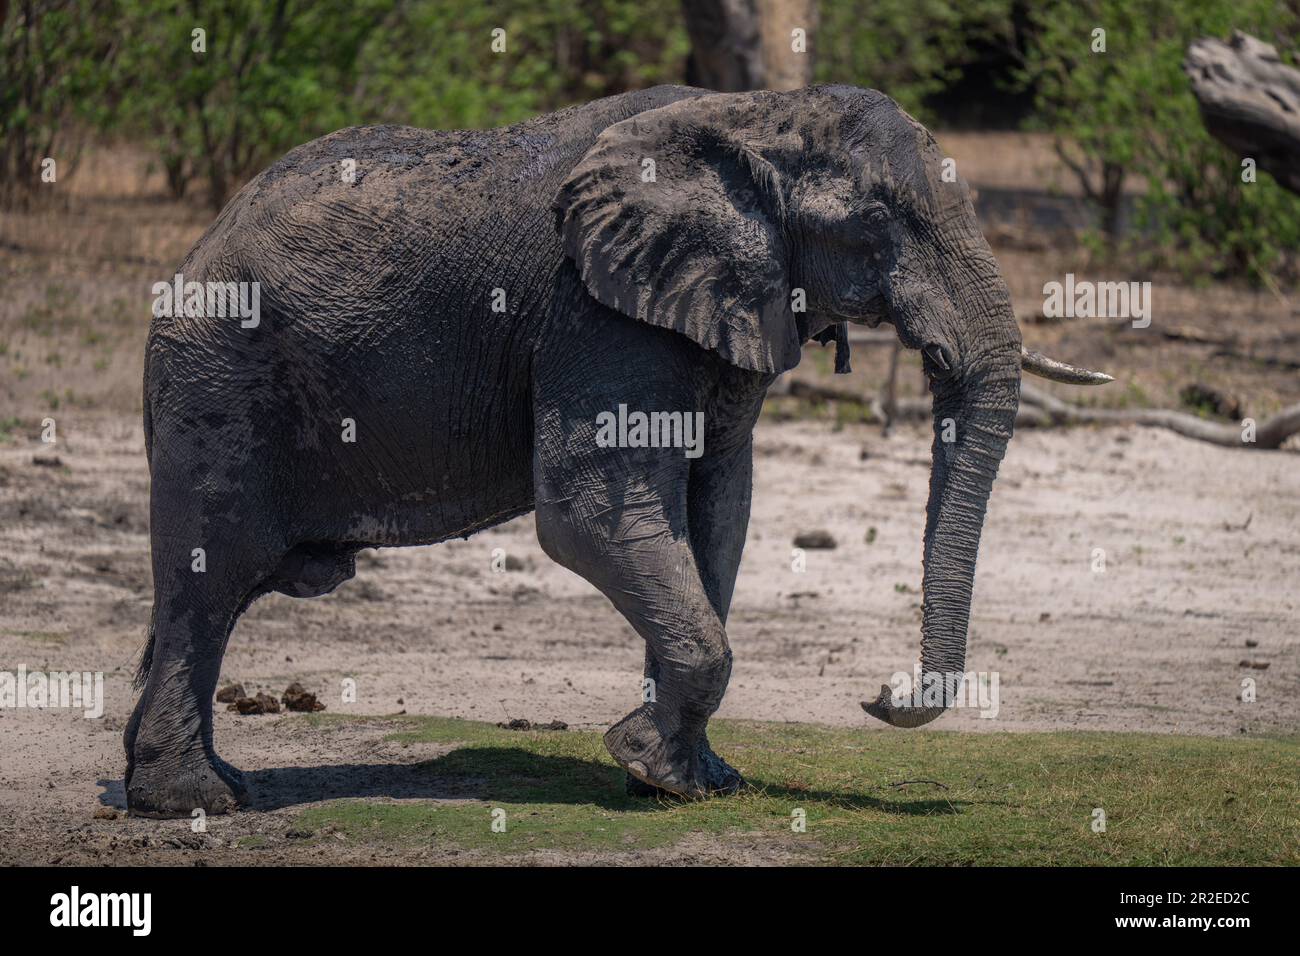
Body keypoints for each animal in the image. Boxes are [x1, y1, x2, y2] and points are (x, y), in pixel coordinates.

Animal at [126, 84, 1109, 817]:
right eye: (875, 221)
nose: (876, 694)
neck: (755, 117)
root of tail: (199, 244)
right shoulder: (593, 309)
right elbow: (591, 515)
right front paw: (645, 762)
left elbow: (718, 514)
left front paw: (688, 781)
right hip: (218, 380)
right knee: (210, 576)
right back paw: (194, 802)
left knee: (205, 592)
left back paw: (186, 786)